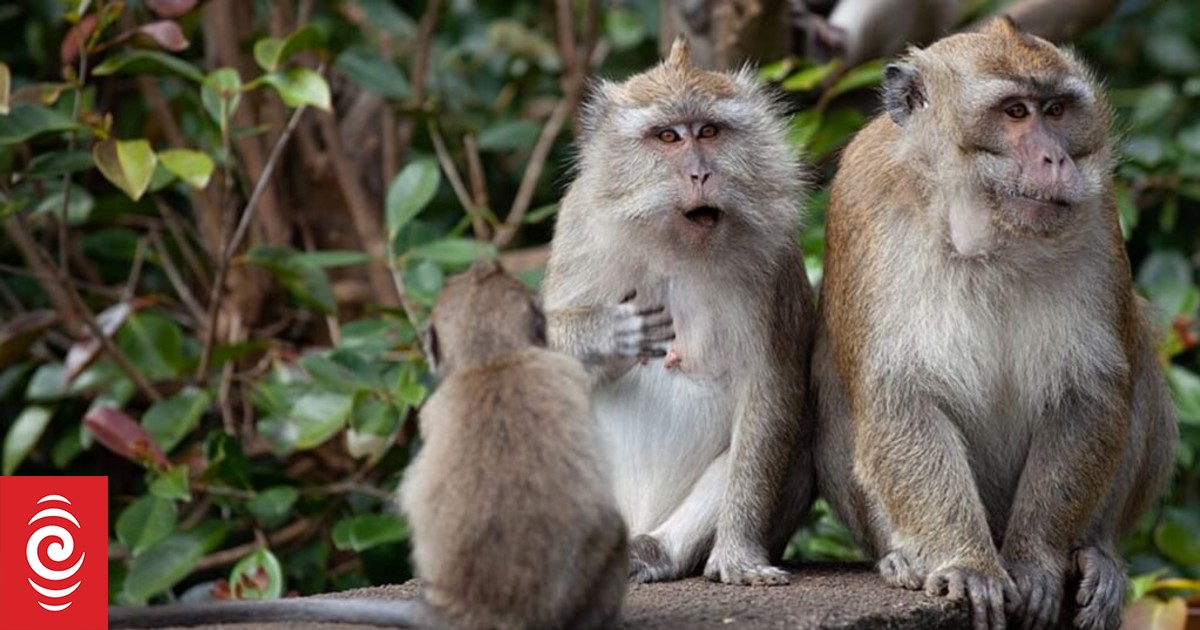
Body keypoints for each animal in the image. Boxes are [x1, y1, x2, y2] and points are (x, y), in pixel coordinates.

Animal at [542, 38, 817, 586]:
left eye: (708, 131)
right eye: (667, 136)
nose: (700, 173)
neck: (674, 245)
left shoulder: (773, 257)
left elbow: (770, 389)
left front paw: (737, 554)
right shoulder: (578, 224)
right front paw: (605, 333)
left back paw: (652, 552)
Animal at [812, 17, 1178, 630]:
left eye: (1055, 110)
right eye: (1014, 112)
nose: (1055, 160)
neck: (989, 228)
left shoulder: (1099, 214)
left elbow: (1089, 391)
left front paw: (1034, 562)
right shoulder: (869, 205)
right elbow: (900, 395)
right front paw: (968, 564)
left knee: (1140, 349)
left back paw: (1097, 554)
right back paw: (903, 557)